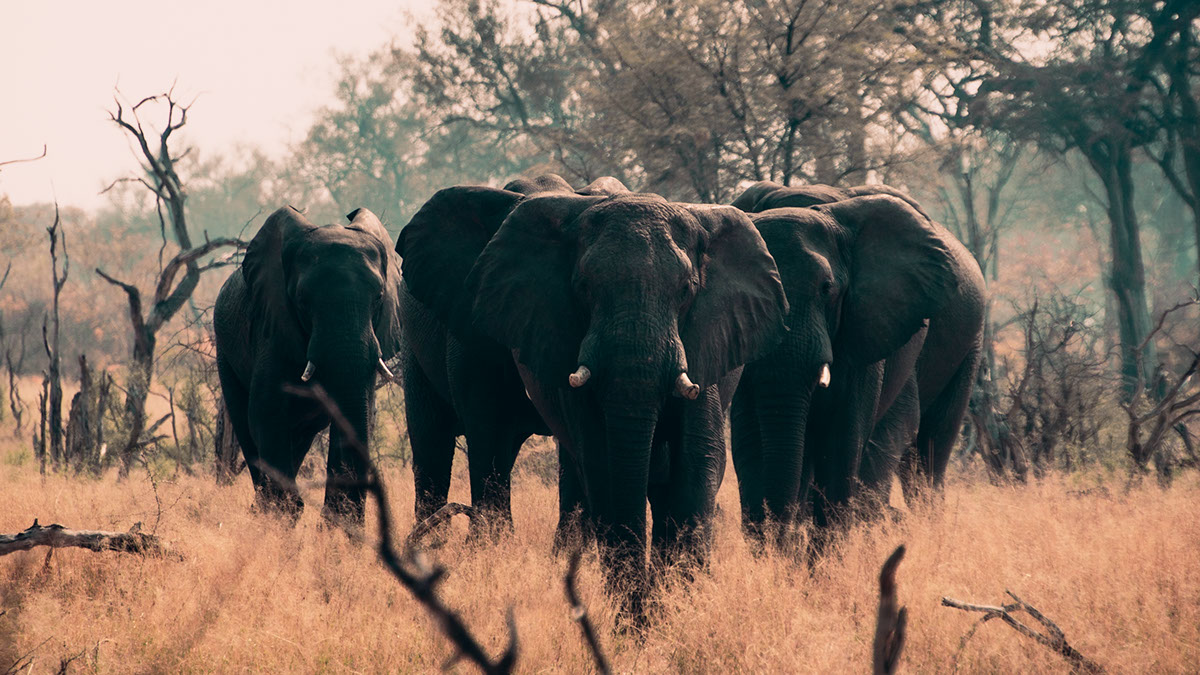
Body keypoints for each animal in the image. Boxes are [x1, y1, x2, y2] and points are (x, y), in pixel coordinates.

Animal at [214, 206, 402, 524]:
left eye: (378, 297)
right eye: (302, 300)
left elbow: (356, 415)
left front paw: (341, 522)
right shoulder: (272, 327)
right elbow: (266, 411)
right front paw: (281, 517)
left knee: (301, 434)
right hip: (224, 350)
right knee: (246, 424)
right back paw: (262, 509)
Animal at [444, 188, 787, 613]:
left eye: (687, 291)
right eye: (583, 287)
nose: (644, 609)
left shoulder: (706, 340)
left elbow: (696, 459)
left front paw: (675, 606)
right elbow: (603, 462)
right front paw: (637, 615)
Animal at [728, 190, 984, 550]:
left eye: (826, 289)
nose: (782, 541)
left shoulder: (864, 330)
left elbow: (843, 435)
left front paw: (824, 557)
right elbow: (749, 437)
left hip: (969, 341)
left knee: (930, 450)